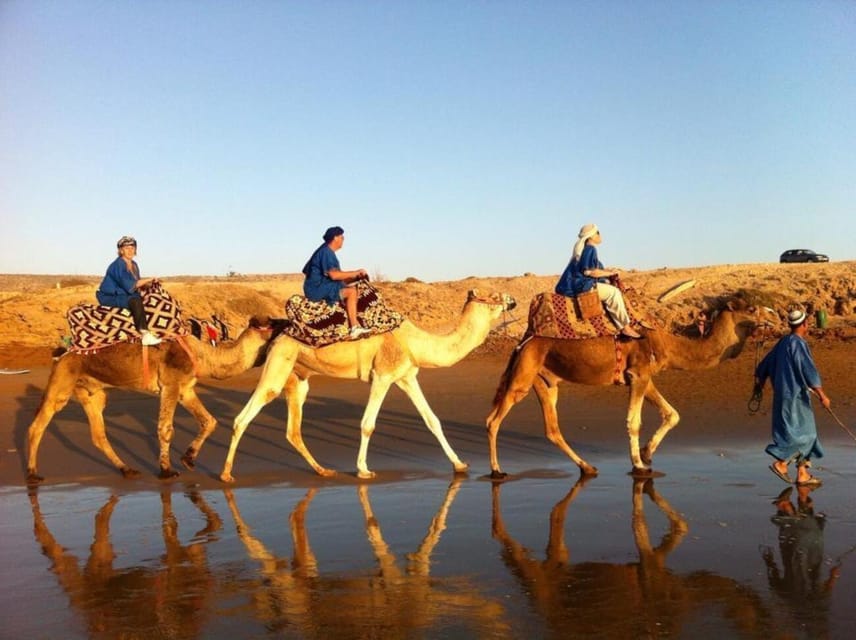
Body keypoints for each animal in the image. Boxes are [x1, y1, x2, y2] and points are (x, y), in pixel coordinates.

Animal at [26, 317, 286, 484]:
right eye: (272, 323)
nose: (288, 321)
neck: (202, 355)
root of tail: (61, 351)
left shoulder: (185, 388)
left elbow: (209, 421)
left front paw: (188, 459)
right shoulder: (170, 384)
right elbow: (165, 428)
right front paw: (166, 470)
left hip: (92, 391)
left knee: (98, 434)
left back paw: (127, 470)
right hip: (62, 381)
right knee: (38, 424)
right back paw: (32, 473)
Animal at [219, 290, 516, 482]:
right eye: (492, 295)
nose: (512, 301)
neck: (416, 342)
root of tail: (276, 331)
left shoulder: (406, 376)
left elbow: (432, 421)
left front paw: (460, 464)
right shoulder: (382, 375)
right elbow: (367, 424)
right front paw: (363, 469)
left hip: (297, 376)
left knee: (293, 430)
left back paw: (323, 471)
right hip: (279, 363)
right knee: (244, 416)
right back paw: (226, 474)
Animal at [486, 301, 761, 477]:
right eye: (752, 309)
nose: (767, 315)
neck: (668, 344)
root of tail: (523, 342)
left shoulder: (644, 377)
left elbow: (672, 414)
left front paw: (647, 453)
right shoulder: (638, 374)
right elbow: (633, 421)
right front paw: (639, 465)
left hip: (544, 380)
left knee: (551, 428)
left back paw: (587, 467)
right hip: (523, 377)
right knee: (493, 420)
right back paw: (497, 470)